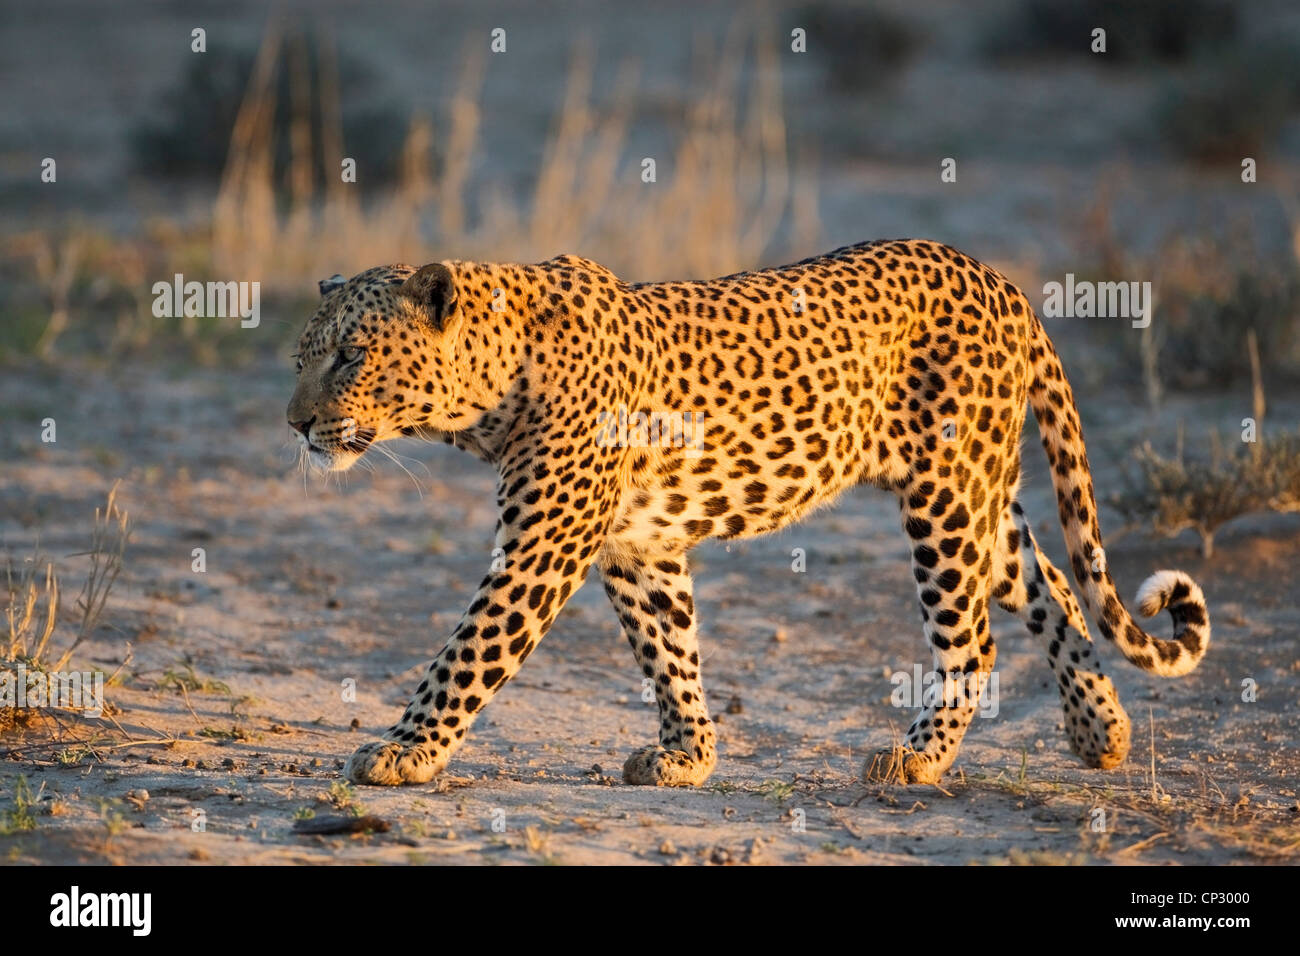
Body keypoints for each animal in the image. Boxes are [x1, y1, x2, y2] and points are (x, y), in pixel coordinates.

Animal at [284, 238, 1206, 785]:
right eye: (300, 358)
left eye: (350, 356)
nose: (293, 423)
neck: (487, 391)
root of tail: (998, 278)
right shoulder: (639, 547)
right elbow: (670, 651)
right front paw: (688, 755)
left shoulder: (539, 552)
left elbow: (465, 657)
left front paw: (402, 751)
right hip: (975, 499)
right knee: (1054, 586)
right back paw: (1100, 731)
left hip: (946, 497)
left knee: (973, 639)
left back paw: (916, 759)